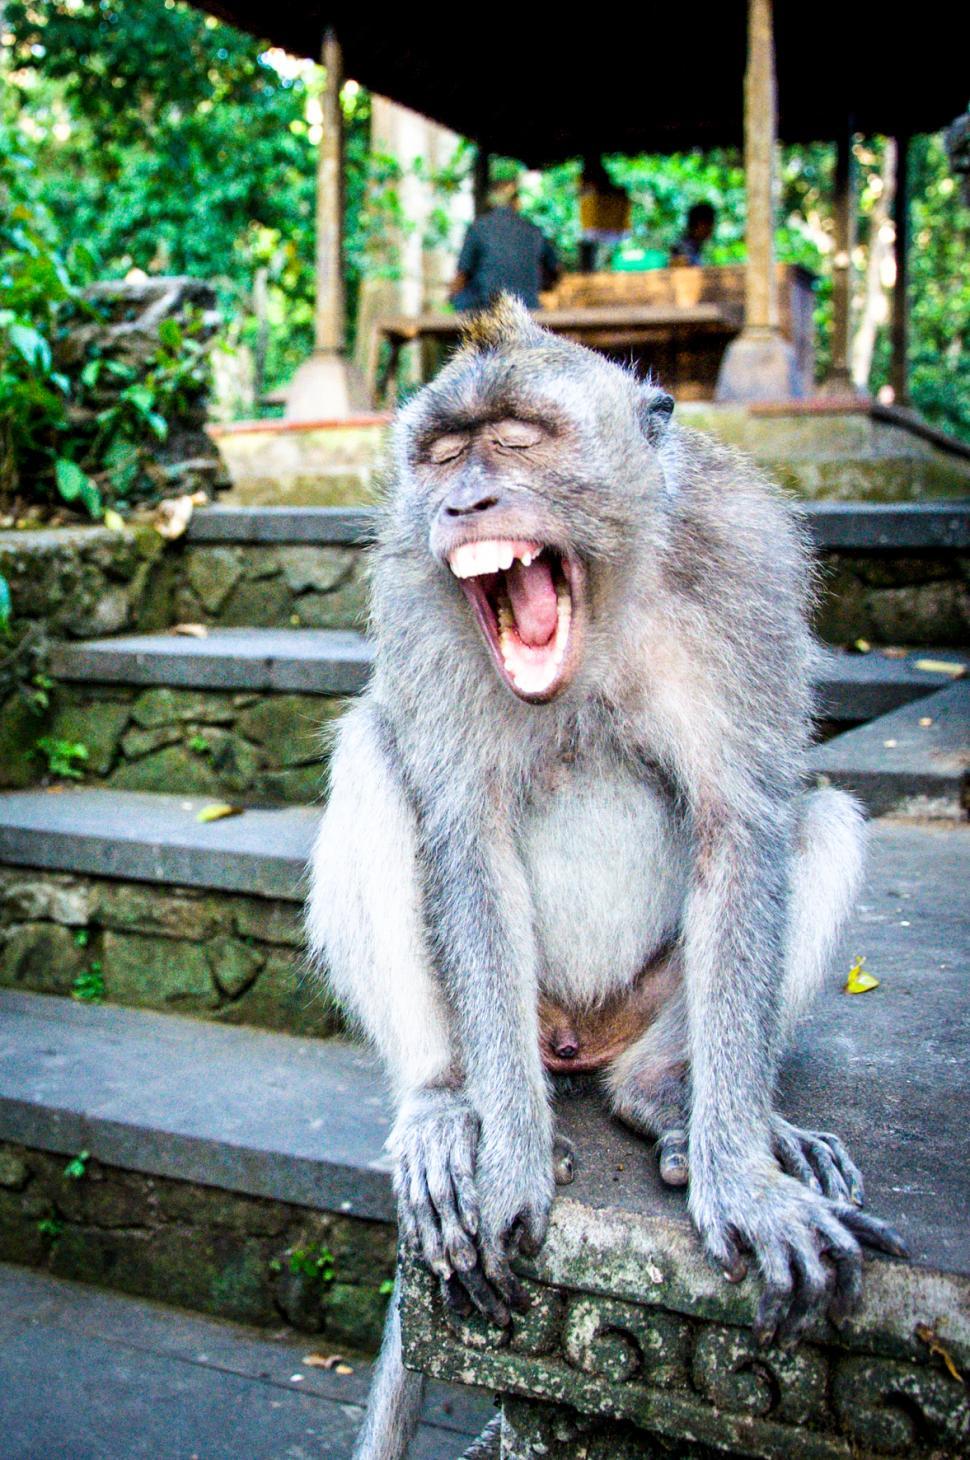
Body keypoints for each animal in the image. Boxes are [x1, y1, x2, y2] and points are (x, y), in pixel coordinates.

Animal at [306, 297, 907, 1459]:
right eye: (442, 454)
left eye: (517, 441)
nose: (464, 502)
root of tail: (581, 1038)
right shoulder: (413, 598)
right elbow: (466, 837)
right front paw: (507, 1160)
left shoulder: (747, 569)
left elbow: (742, 827)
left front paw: (740, 1181)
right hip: (523, 1021)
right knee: (373, 752)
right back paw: (446, 1106)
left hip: (647, 1003)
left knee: (818, 818)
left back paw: (673, 1099)